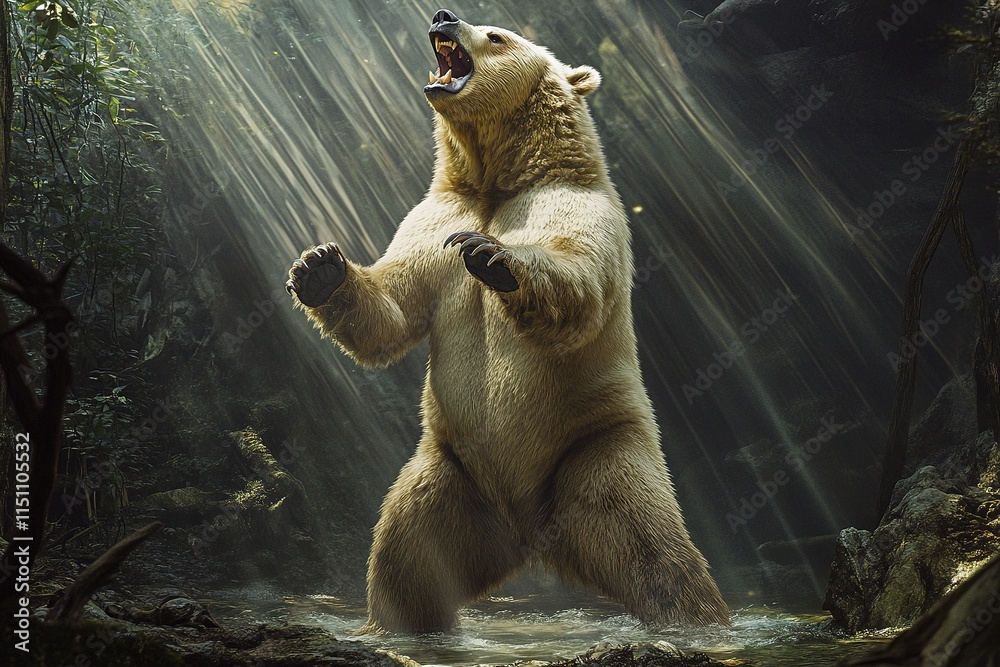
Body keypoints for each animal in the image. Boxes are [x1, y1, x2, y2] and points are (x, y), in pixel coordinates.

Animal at [285, 8, 729, 633]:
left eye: (495, 34)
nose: (442, 16)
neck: (497, 177)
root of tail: (531, 535)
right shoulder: (434, 215)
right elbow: (396, 306)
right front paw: (319, 268)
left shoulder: (572, 205)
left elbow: (576, 281)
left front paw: (492, 255)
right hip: (451, 478)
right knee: (407, 559)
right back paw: (399, 624)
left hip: (596, 449)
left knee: (658, 558)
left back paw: (698, 618)